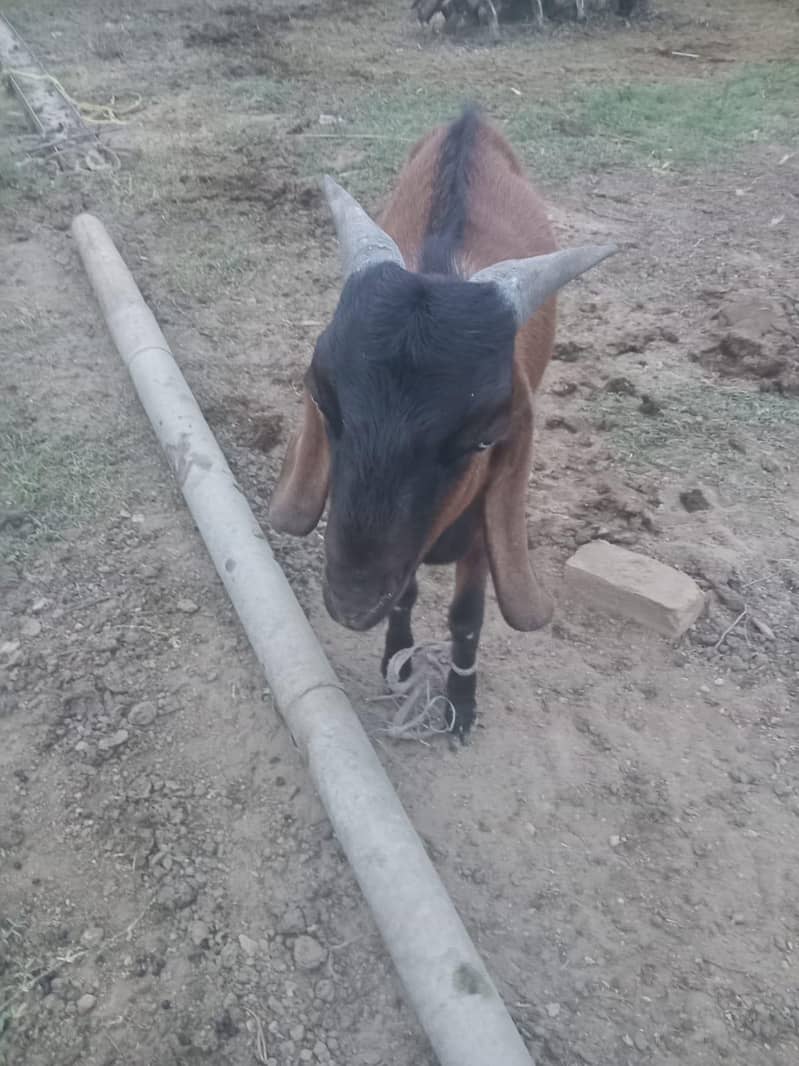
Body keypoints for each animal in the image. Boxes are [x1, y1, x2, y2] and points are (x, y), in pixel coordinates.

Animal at [269, 108, 615, 740]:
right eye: (324, 402)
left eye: (483, 435)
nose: (351, 603)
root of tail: (468, 118)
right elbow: (405, 594)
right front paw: (398, 663)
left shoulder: (482, 522)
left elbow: (467, 616)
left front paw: (460, 704)